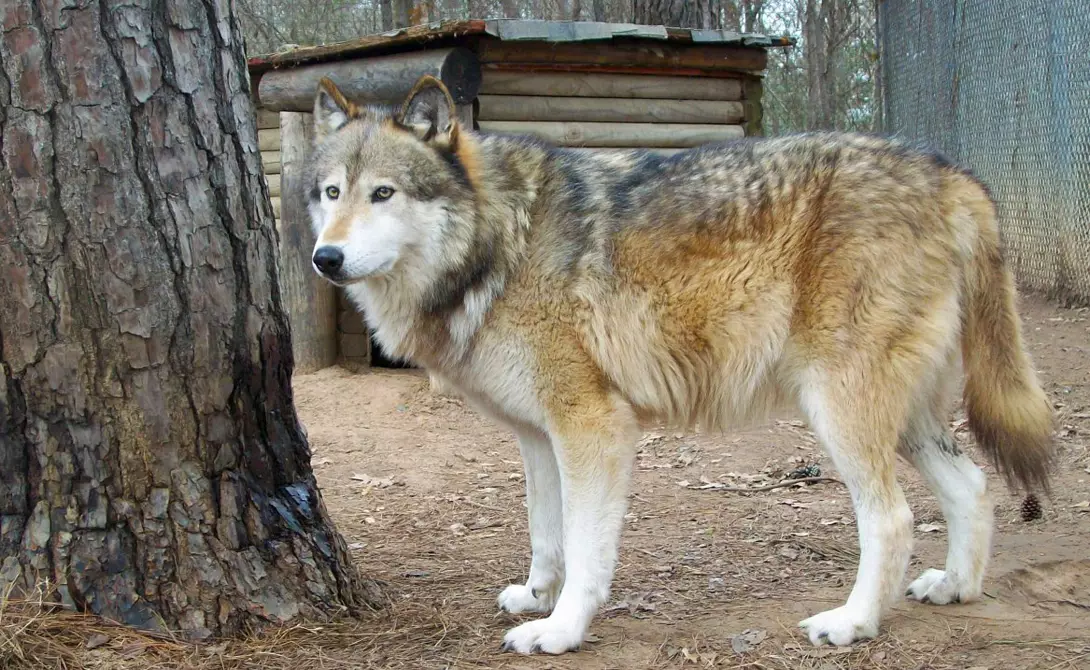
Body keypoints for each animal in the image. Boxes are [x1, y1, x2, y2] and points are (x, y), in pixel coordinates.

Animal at [300, 74, 1055, 653]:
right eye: (333, 193)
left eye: (385, 194)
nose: (325, 259)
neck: (498, 243)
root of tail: (947, 172)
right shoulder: (537, 435)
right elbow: (545, 531)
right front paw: (536, 597)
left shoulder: (593, 426)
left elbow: (586, 547)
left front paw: (561, 629)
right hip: (901, 419)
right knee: (972, 486)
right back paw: (956, 587)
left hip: (839, 411)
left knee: (893, 519)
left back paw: (852, 623)